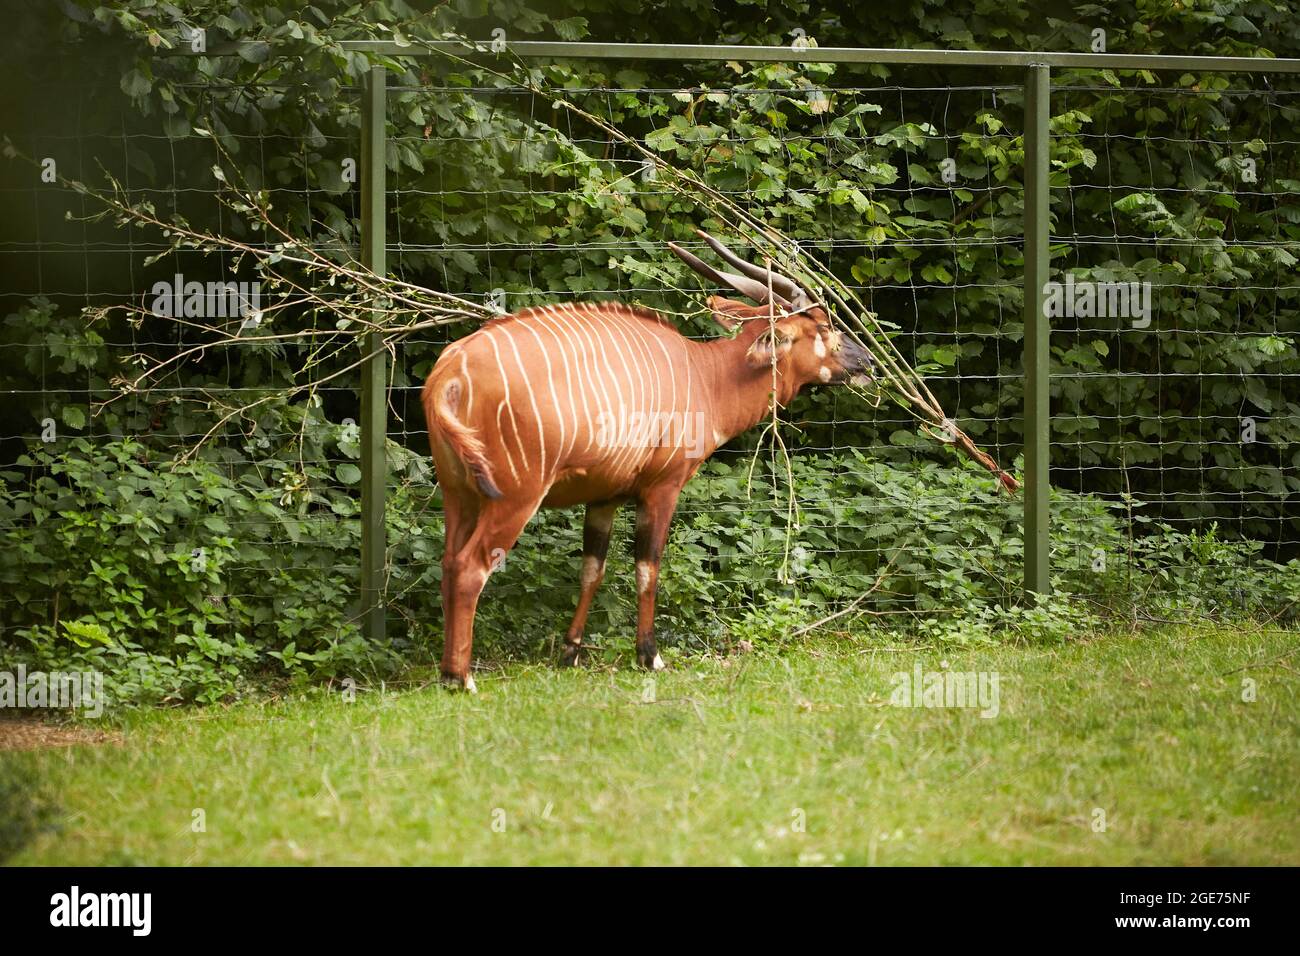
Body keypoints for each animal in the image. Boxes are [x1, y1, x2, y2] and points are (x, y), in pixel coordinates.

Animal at [423, 231, 872, 691]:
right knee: (470, 568)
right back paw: (461, 678)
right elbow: (647, 569)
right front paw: (650, 656)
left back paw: (447, 672)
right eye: (823, 326)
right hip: (515, 497)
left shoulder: (604, 497)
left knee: (449, 562)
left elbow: (592, 569)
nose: (867, 361)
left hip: (460, 495)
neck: (705, 375)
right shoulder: (662, 488)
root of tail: (449, 373)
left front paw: (570, 653)